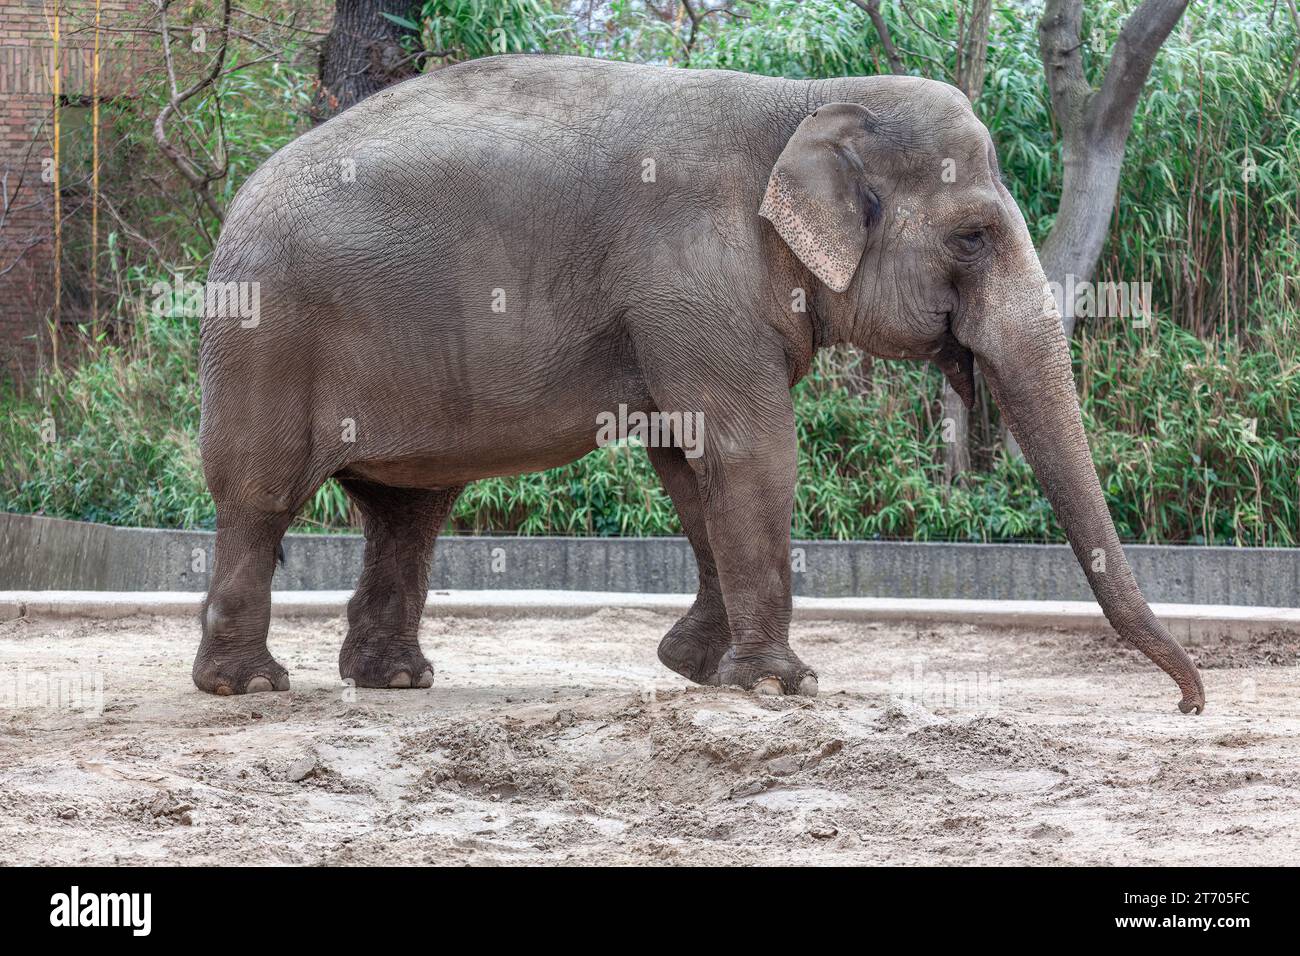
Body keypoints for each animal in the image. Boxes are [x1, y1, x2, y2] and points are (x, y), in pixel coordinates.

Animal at [195, 54, 1205, 714]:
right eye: (972, 237)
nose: (1190, 706)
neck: (803, 105)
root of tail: (234, 209)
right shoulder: (691, 277)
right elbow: (752, 449)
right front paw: (782, 686)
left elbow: (688, 462)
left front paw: (691, 665)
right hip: (266, 336)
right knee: (261, 495)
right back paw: (248, 686)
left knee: (407, 511)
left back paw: (396, 680)